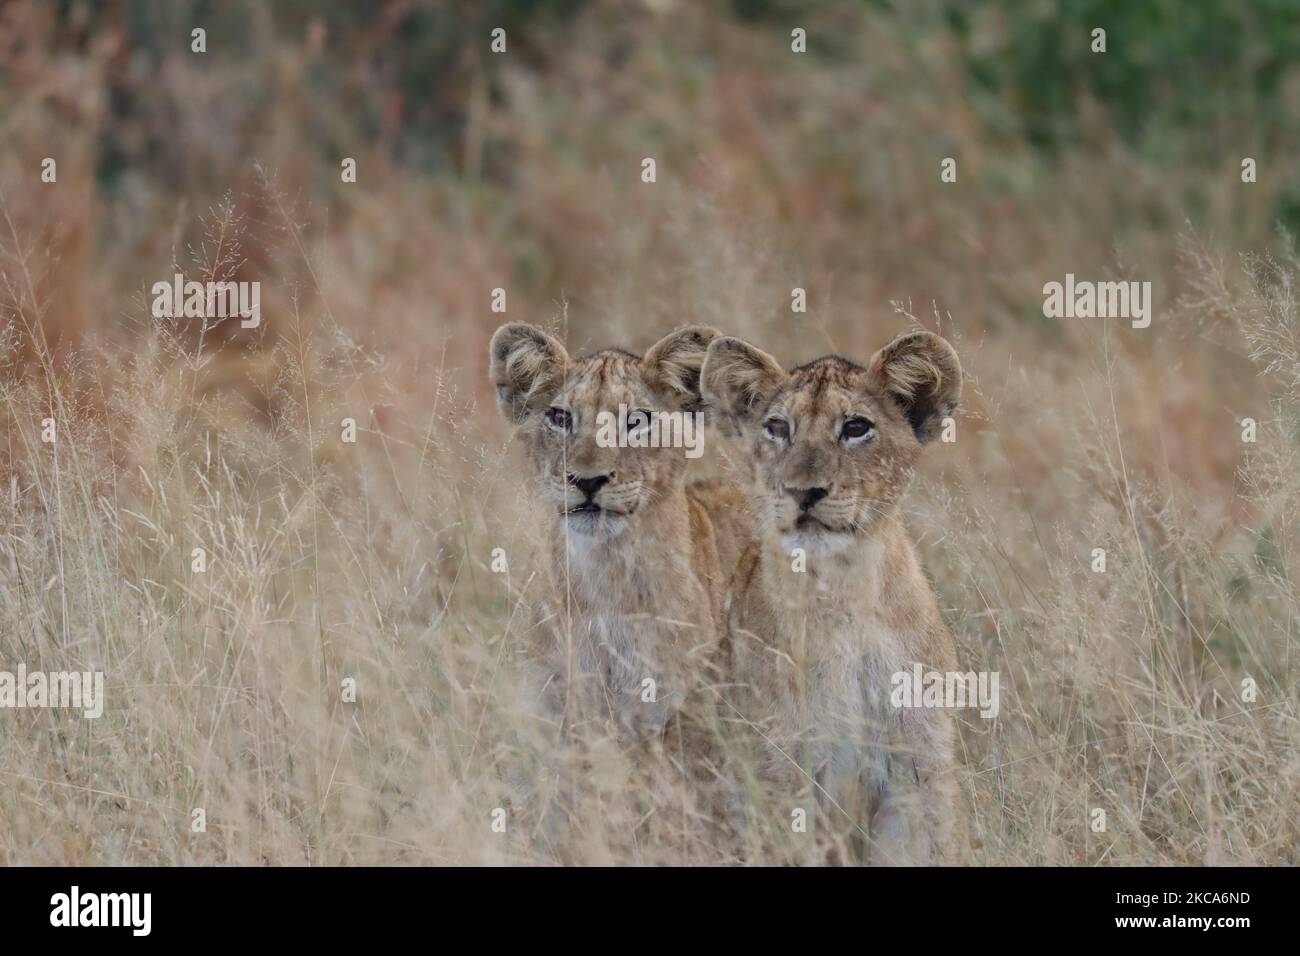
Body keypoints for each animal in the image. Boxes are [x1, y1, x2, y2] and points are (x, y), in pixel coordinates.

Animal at [700, 329, 967, 865]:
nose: (804, 491)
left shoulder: (918, 767)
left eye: (856, 427)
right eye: (777, 427)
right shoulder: (780, 769)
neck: (845, 592)